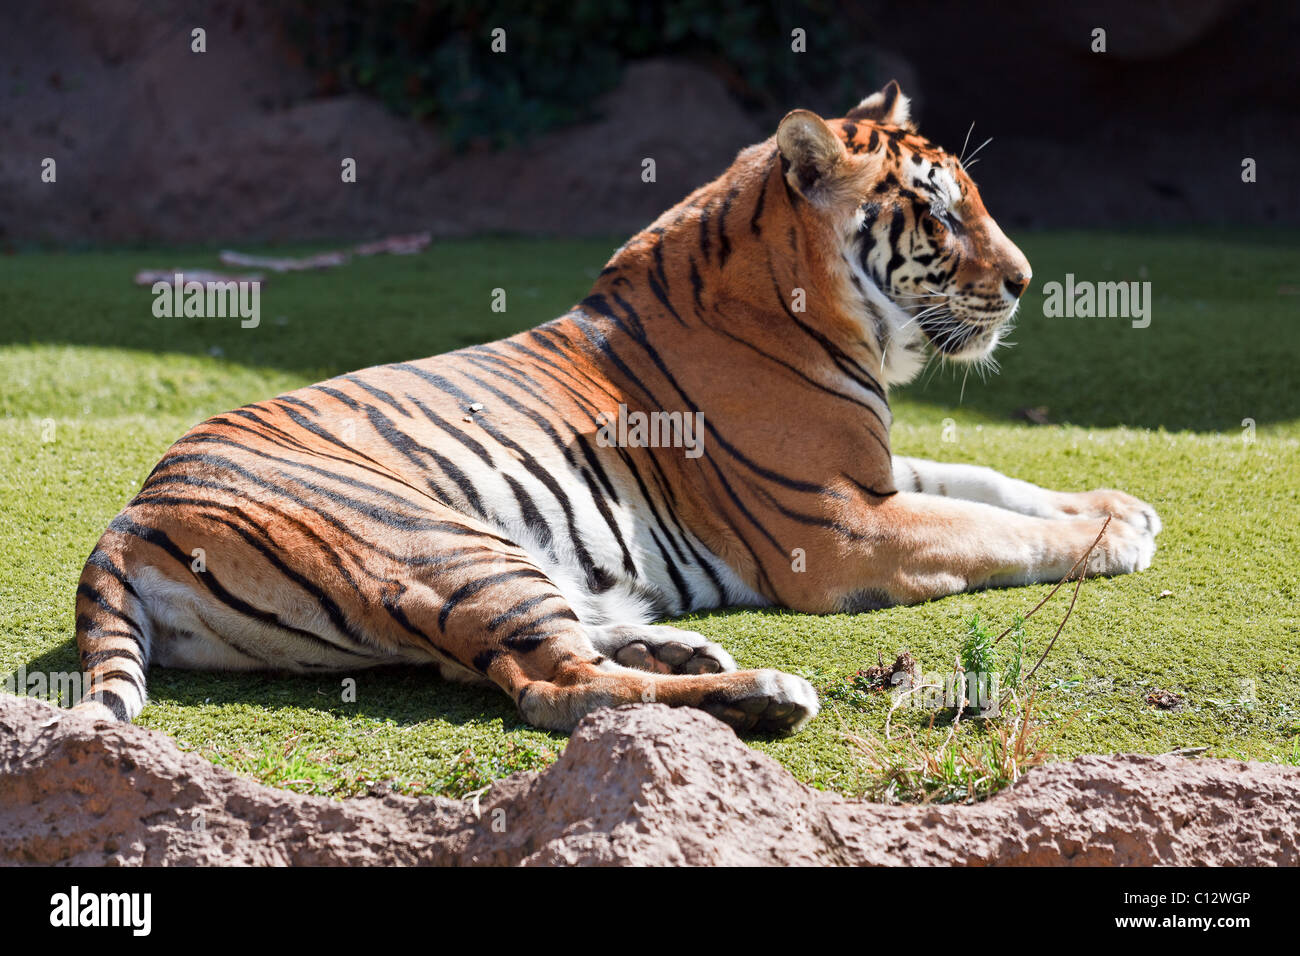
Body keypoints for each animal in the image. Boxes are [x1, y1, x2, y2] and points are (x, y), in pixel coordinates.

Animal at [72, 81, 1160, 735]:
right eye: (937, 211)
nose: (1023, 282)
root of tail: (129, 516)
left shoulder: (876, 471)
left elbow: (993, 480)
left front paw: (1122, 504)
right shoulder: (841, 524)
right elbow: (989, 528)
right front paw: (1115, 536)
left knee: (505, 661)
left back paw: (681, 642)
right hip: (441, 542)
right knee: (549, 685)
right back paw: (759, 693)